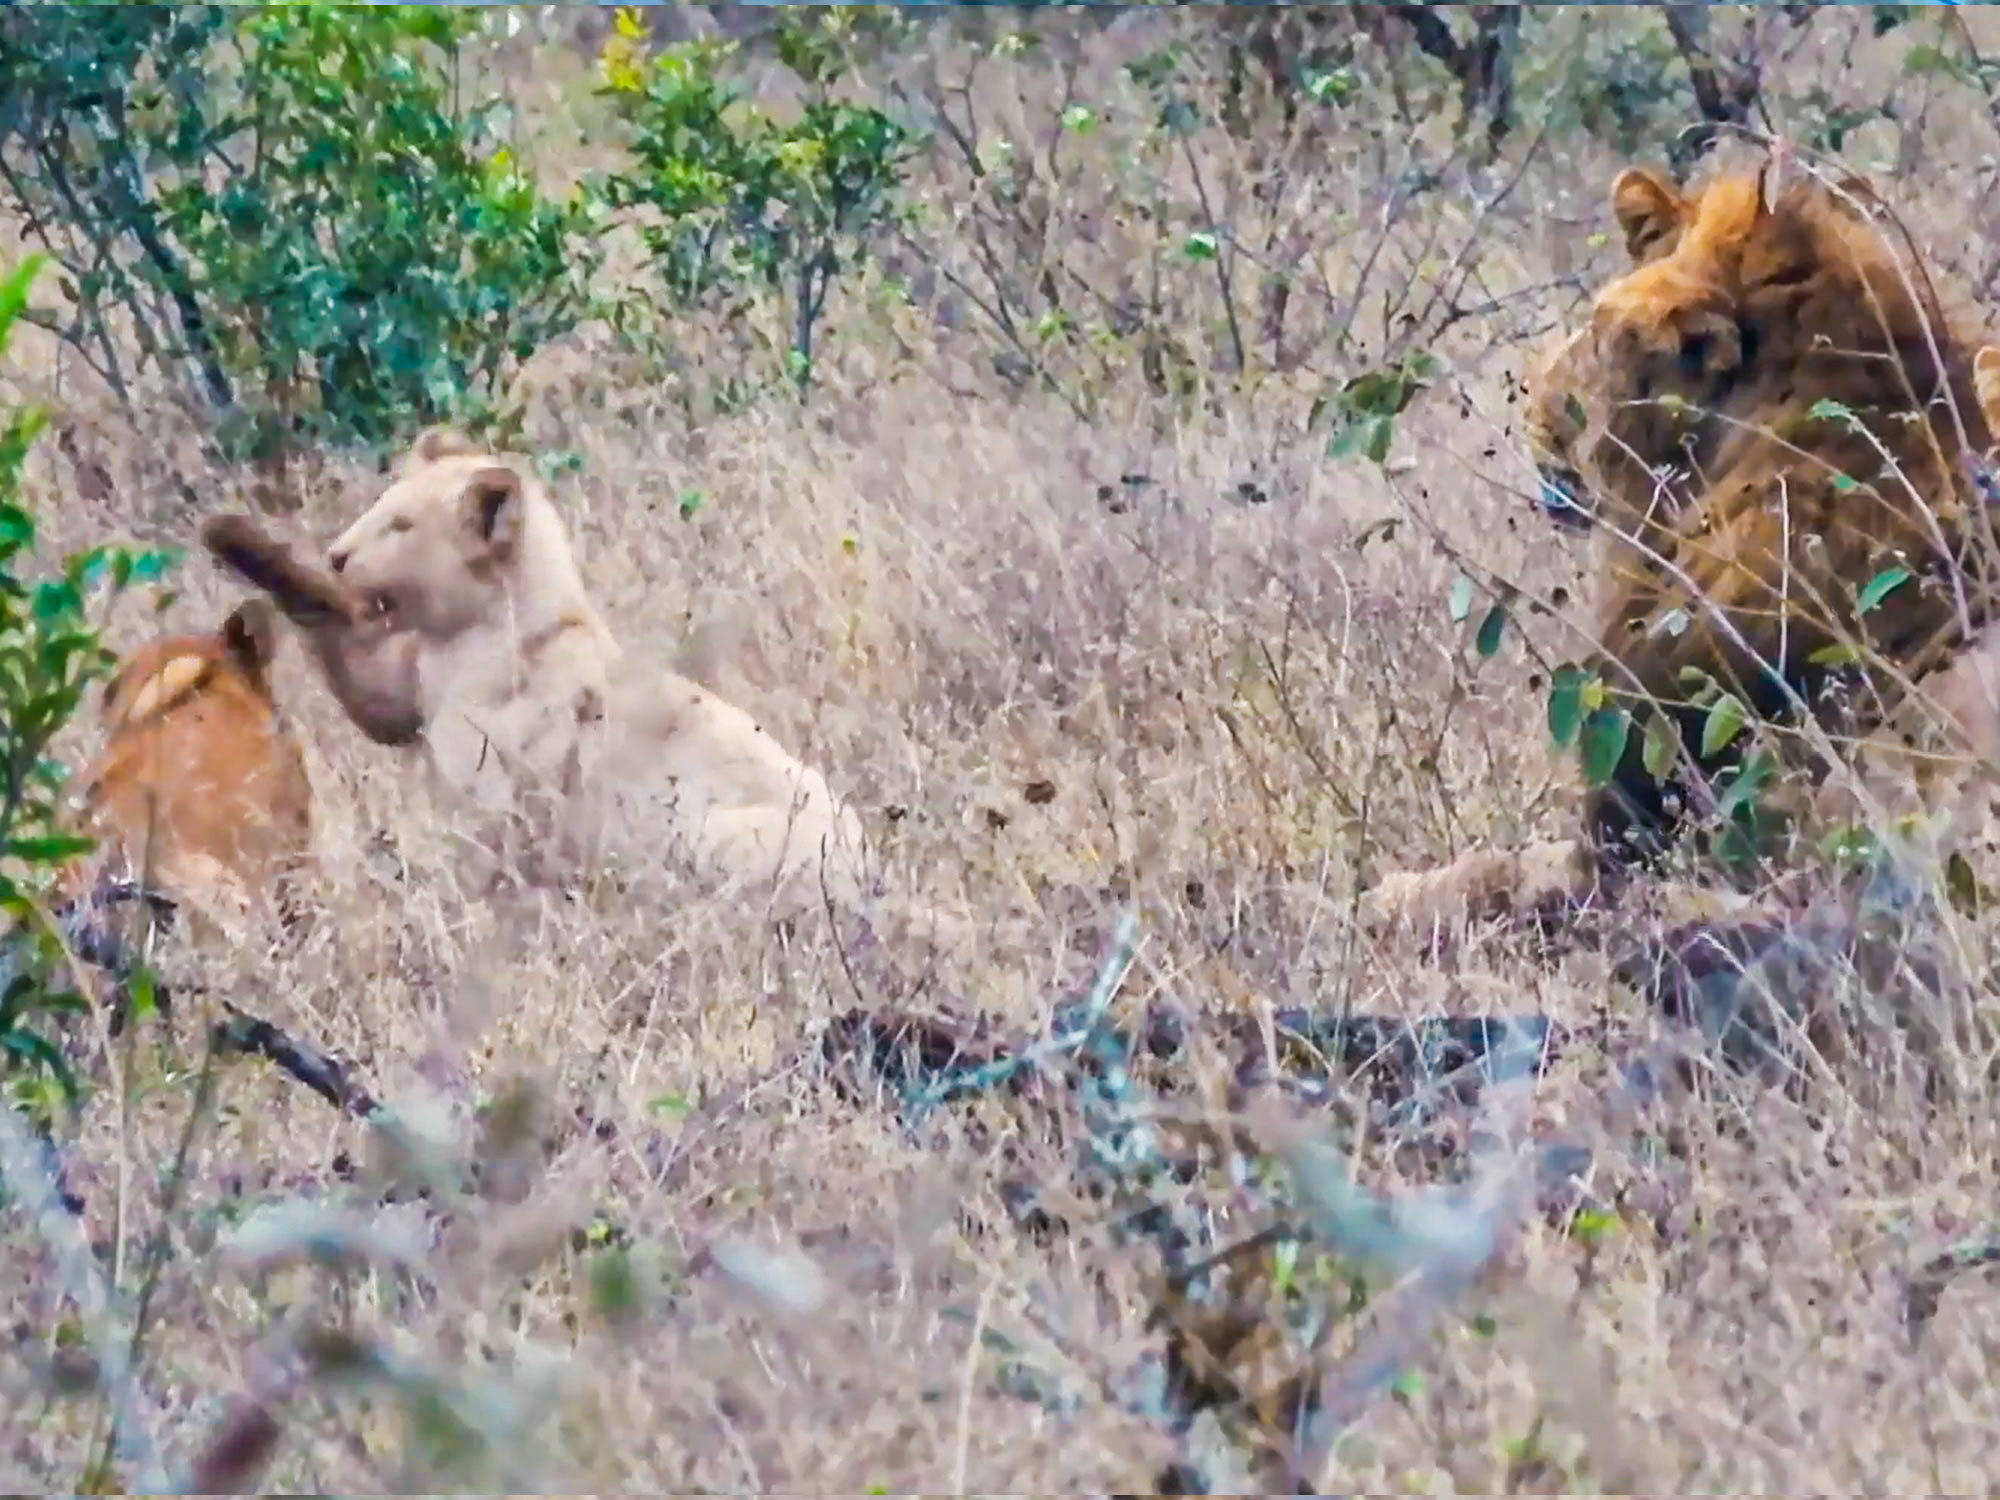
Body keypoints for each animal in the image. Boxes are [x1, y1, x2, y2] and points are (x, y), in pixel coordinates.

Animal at [200, 428, 882, 926]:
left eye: (402, 524)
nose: (338, 554)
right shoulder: (405, 694)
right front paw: (240, 543)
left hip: (716, 835)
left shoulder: (492, 782)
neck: (469, 636)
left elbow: (473, 863)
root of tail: (874, 872)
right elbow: (347, 662)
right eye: (380, 505)